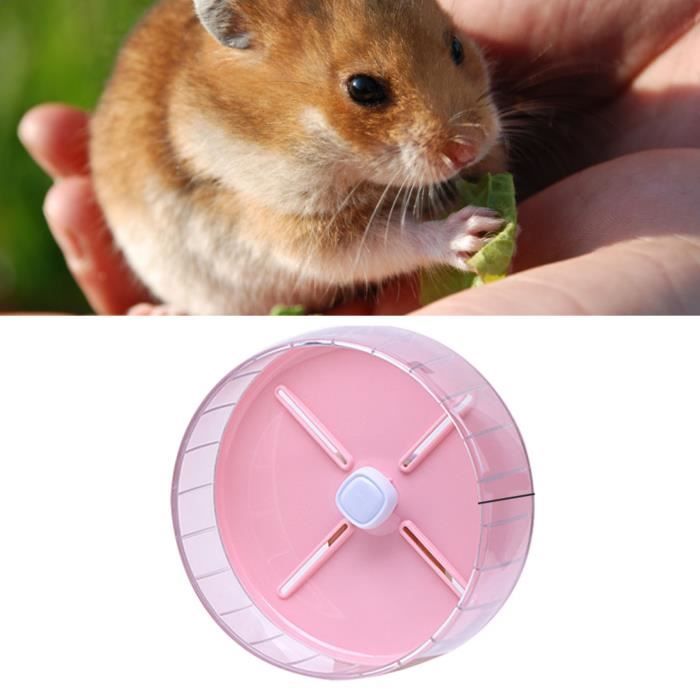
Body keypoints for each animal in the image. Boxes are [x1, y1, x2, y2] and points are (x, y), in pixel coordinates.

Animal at [91, 0, 507, 314]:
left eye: (457, 47)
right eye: (363, 88)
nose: (468, 150)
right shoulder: (296, 229)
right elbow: (393, 240)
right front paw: (475, 230)